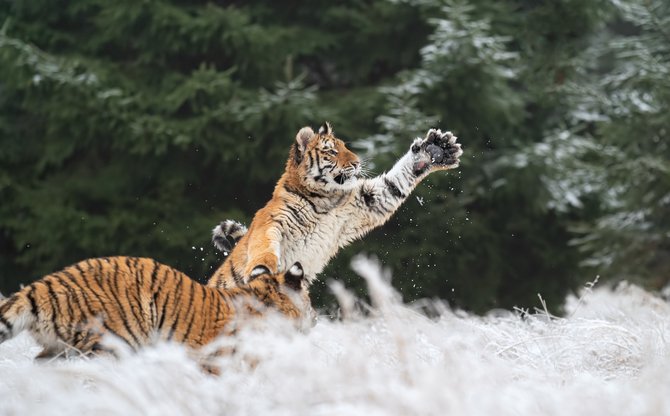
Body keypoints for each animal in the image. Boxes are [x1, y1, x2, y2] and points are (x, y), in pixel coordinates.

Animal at [207, 122, 462, 289]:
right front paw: (262, 269)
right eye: (331, 150)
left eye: (345, 147)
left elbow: (393, 184)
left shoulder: (367, 202)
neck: (323, 199)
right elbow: (264, 246)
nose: (358, 162)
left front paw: (435, 150)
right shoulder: (271, 222)